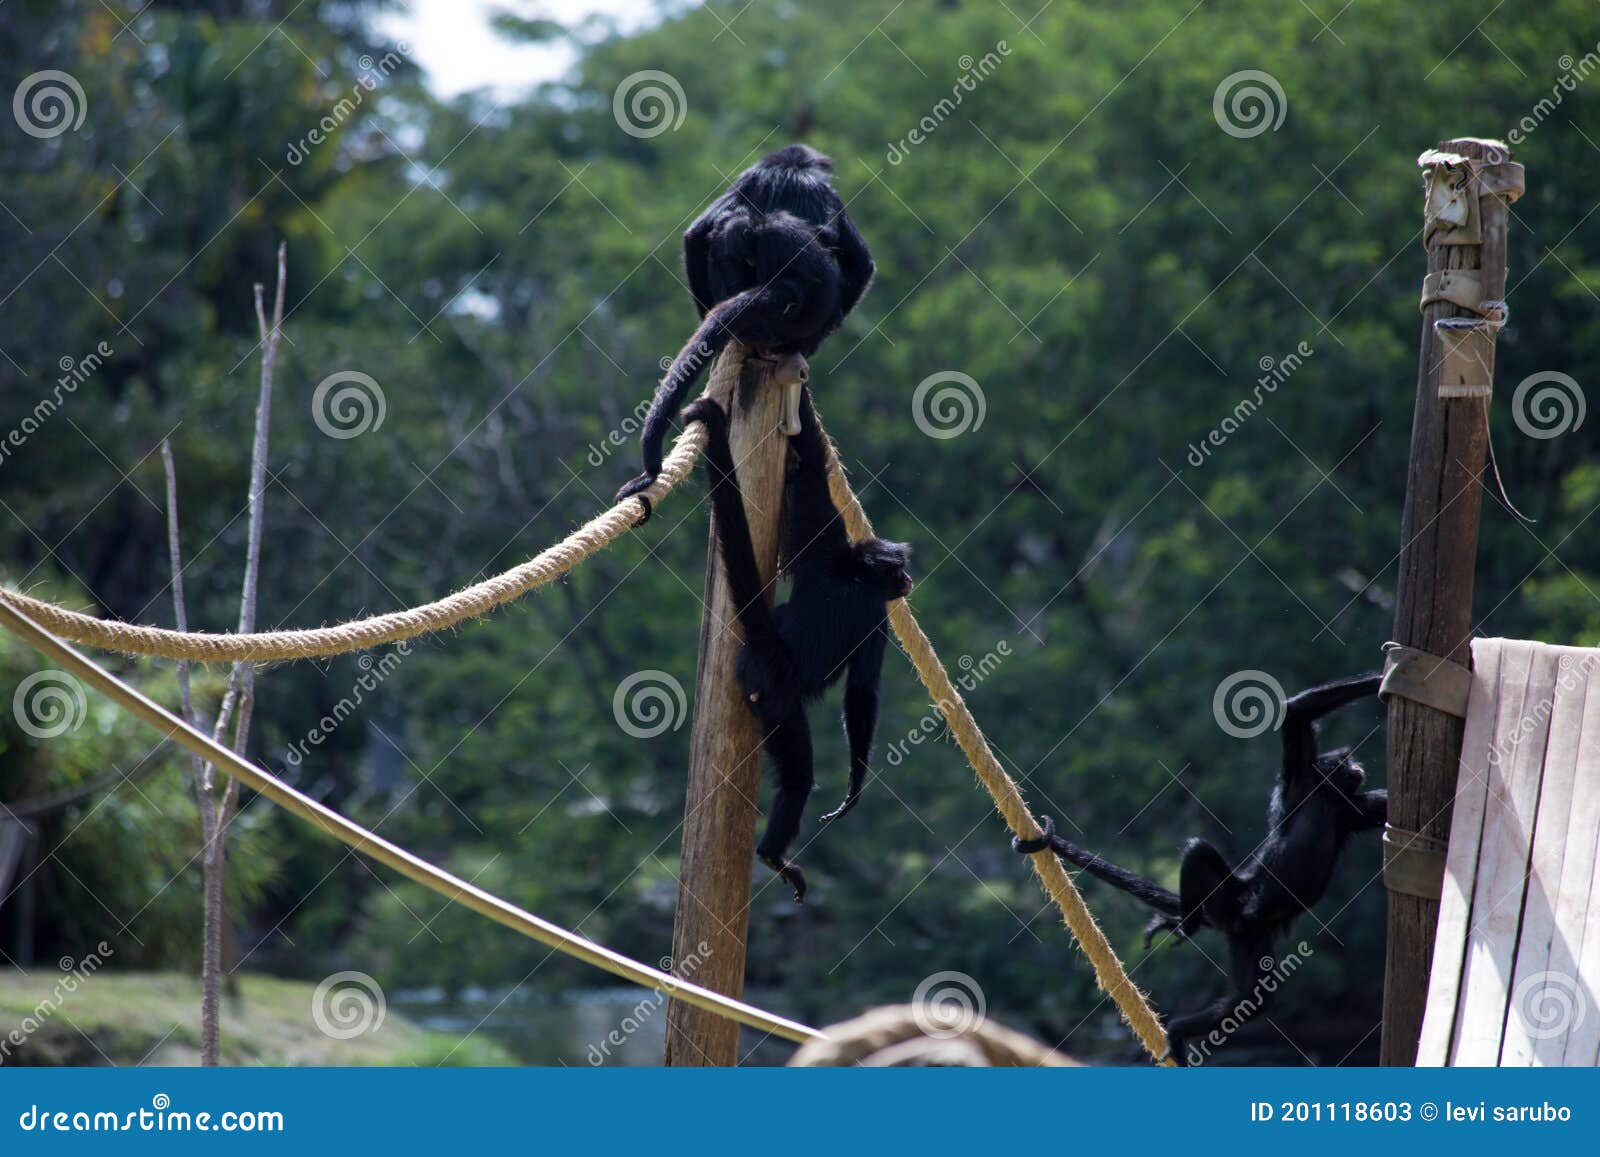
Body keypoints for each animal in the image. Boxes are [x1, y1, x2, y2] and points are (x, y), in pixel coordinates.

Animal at [680, 389, 910, 903]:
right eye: (899, 572)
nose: (907, 580)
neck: (852, 573)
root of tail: (774, 653)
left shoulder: (826, 543)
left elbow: (809, 477)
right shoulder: (875, 615)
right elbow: (862, 691)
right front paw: (853, 791)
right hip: (777, 701)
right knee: (799, 776)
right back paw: (772, 855)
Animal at [1014, 673, 1386, 1063]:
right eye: (1345, 762)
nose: (1357, 767)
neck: (1327, 801)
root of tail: (1244, 895)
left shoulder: (1352, 810)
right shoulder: (1301, 781)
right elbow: (1295, 713)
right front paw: (1384, 674)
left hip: (1248, 933)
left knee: (1251, 1000)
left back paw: (1181, 1027)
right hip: (1230, 902)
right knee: (1198, 852)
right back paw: (1186, 933)